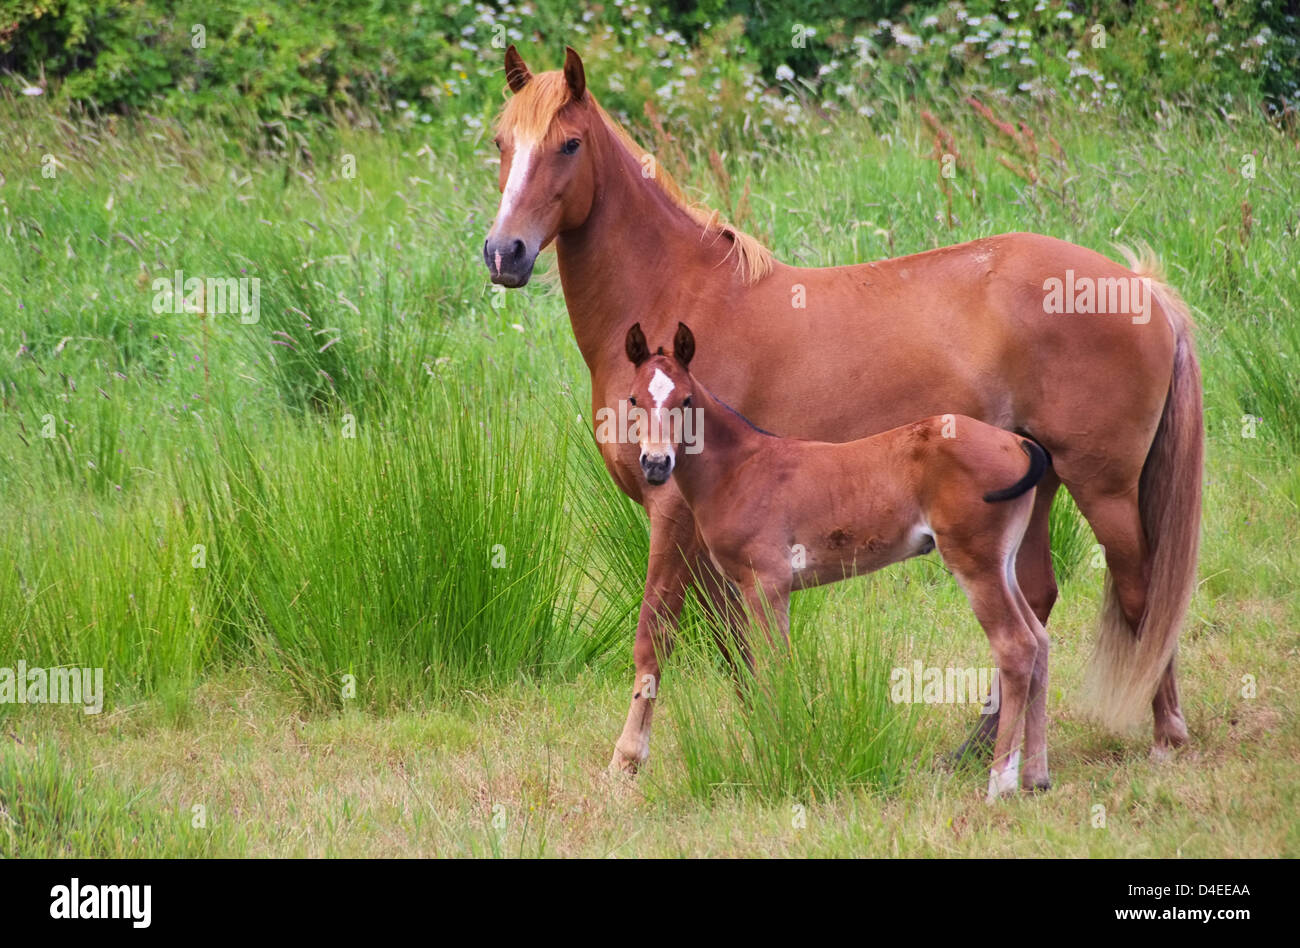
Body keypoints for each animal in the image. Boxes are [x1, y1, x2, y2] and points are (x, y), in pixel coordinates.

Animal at [625, 320, 1051, 799]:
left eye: (685, 400)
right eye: (634, 399)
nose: (656, 464)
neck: (739, 469)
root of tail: (1017, 441)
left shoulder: (767, 581)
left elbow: (772, 668)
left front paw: (778, 756)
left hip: (975, 562)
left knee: (1016, 646)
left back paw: (1000, 785)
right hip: (1004, 562)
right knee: (1039, 643)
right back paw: (1036, 776)